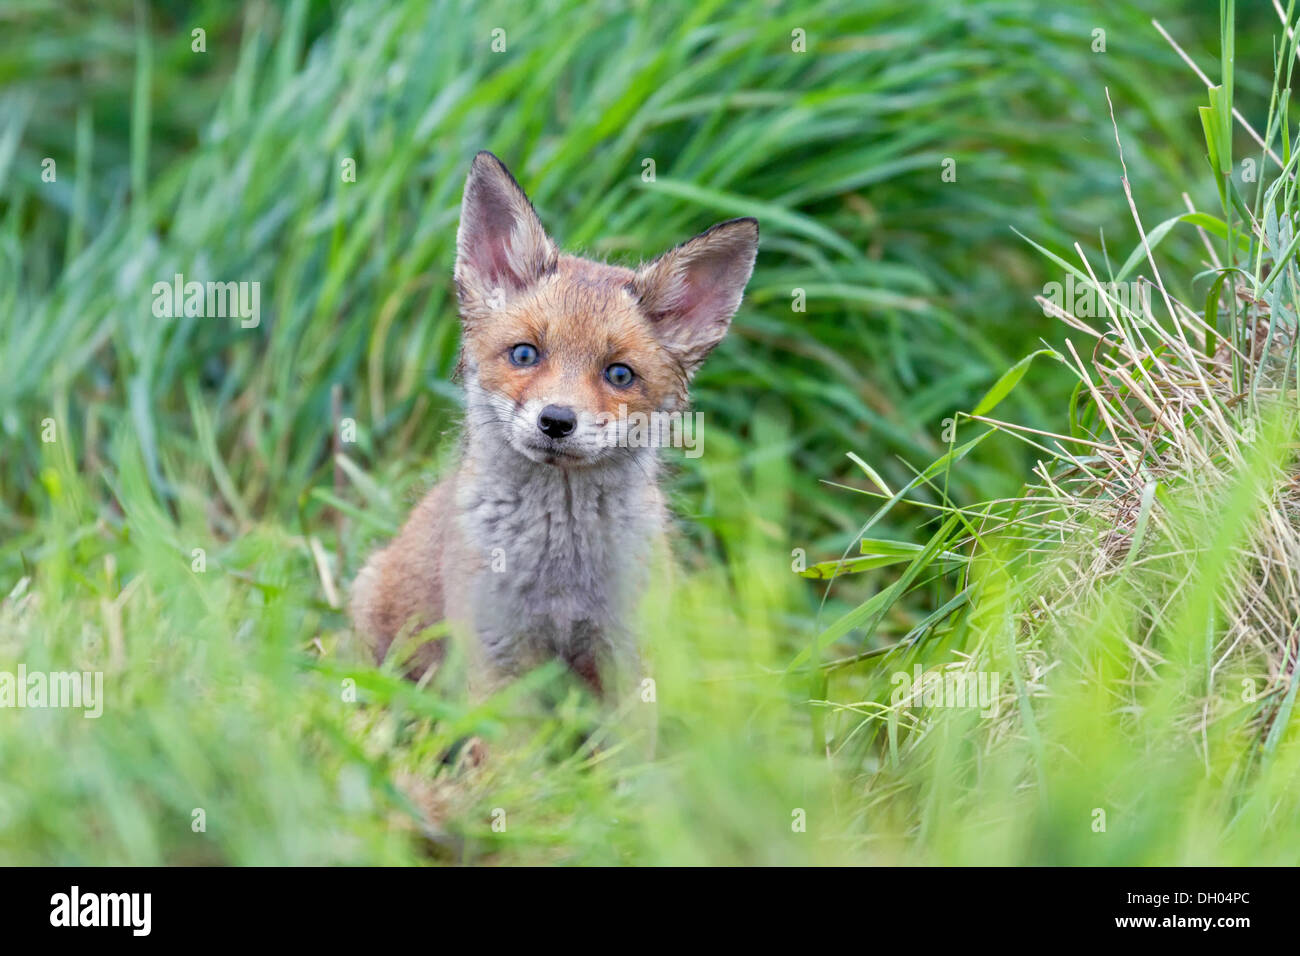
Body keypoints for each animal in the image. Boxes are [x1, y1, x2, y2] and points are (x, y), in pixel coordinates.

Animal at [349, 151, 758, 703]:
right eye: (525, 354)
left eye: (619, 374)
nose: (557, 421)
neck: (560, 570)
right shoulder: (496, 652)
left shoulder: (629, 654)